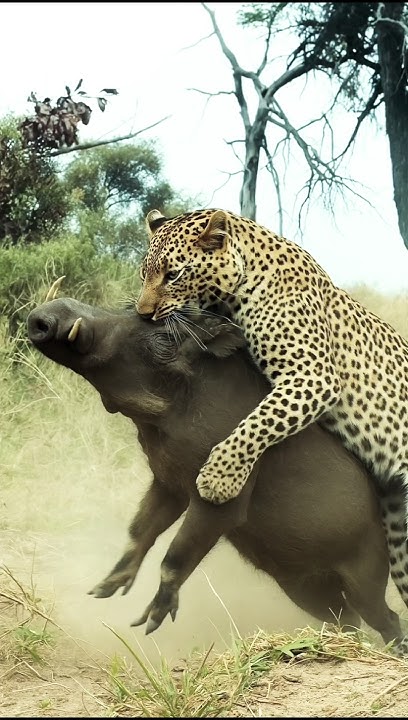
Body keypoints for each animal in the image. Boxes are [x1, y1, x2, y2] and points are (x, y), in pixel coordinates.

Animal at [136, 206, 408, 638]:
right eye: (143, 274)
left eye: (173, 274)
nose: (142, 314)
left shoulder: (313, 376)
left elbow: (260, 420)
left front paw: (218, 479)